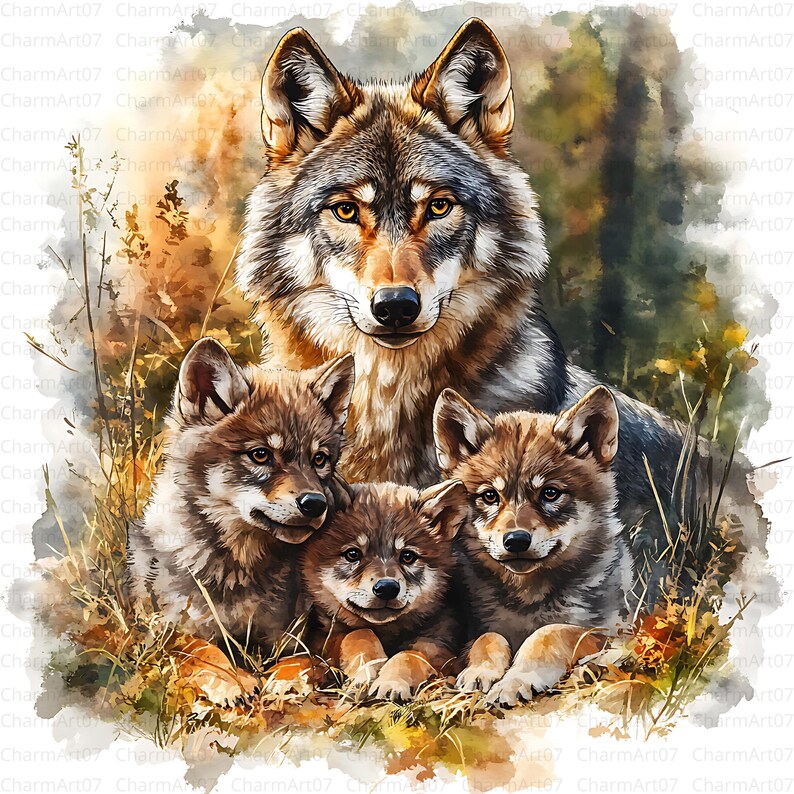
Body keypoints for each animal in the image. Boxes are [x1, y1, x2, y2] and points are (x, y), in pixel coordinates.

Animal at [126, 337, 355, 651]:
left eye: (319, 459)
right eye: (260, 455)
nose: (315, 504)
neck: (236, 569)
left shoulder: (287, 641)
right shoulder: (183, 632)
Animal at [300, 480, 469, 701]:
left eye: (407, 556)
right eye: (353, 554)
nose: (387, 588)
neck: (388, 634)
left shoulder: (439, 644)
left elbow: (408, 656)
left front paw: (391, 682)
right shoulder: (323, 638)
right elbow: (359, 634)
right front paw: (366, 673)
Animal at [433, 385, 634, 705]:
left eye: (550, 493)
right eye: (490, 496)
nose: (516, 540)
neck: (527, 602)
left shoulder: (610, 632)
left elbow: (549, 633)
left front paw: (514, 681)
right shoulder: (475, 631)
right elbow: (488, 638)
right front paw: (480, 671)